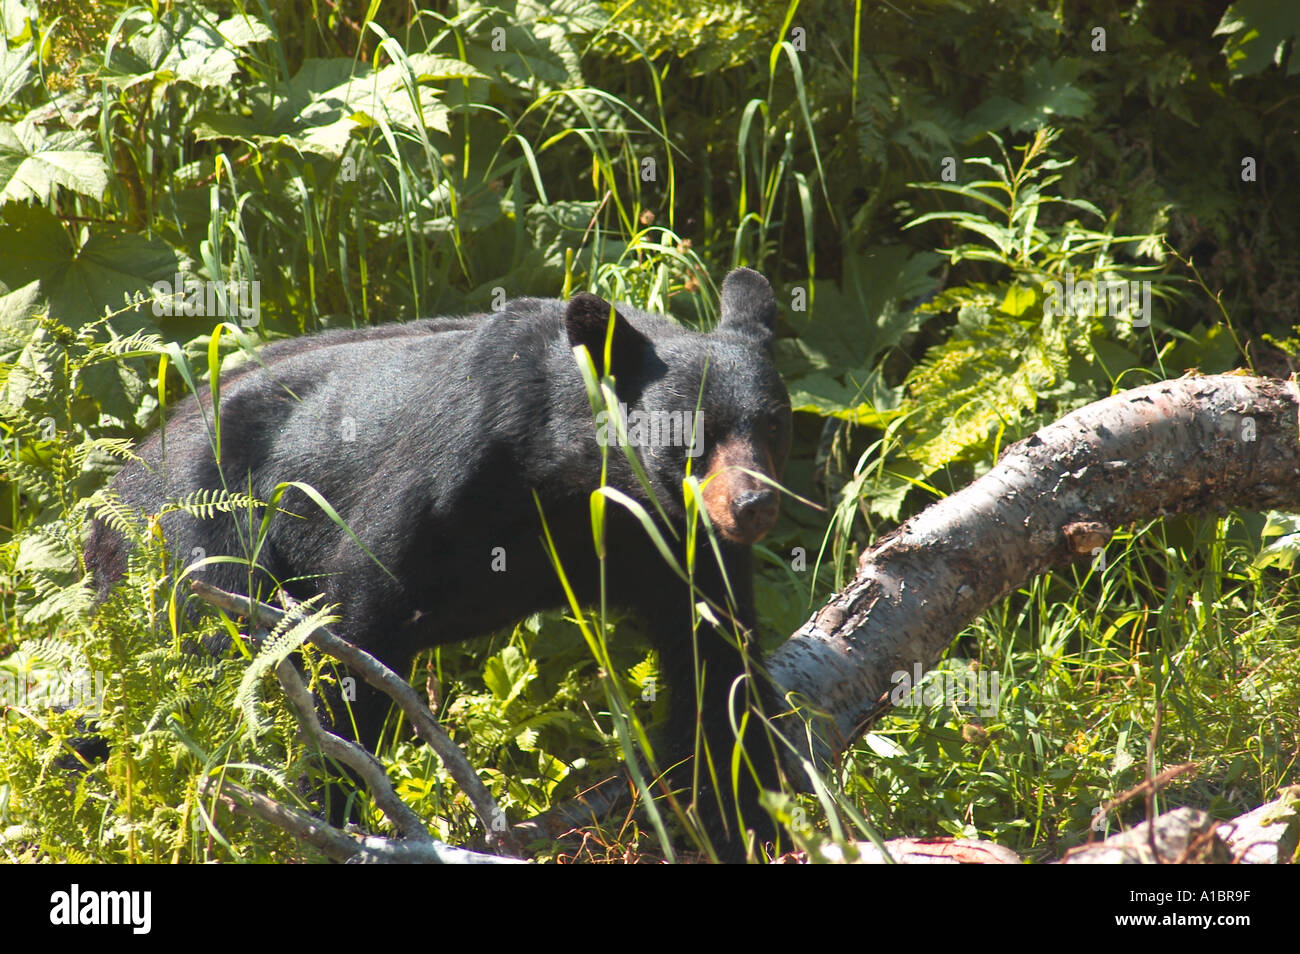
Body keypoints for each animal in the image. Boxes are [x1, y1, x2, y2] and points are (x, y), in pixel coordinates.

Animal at [84, 267, 793, 859]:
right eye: (696, 433)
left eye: (774, 424)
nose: (754, 504)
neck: (576, 479)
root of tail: (114, 486)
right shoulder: (446, 468)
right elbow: (357, 625)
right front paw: (326, 806)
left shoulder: (680, 543)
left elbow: (719, 670)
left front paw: (752, 823)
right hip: (198, 533)